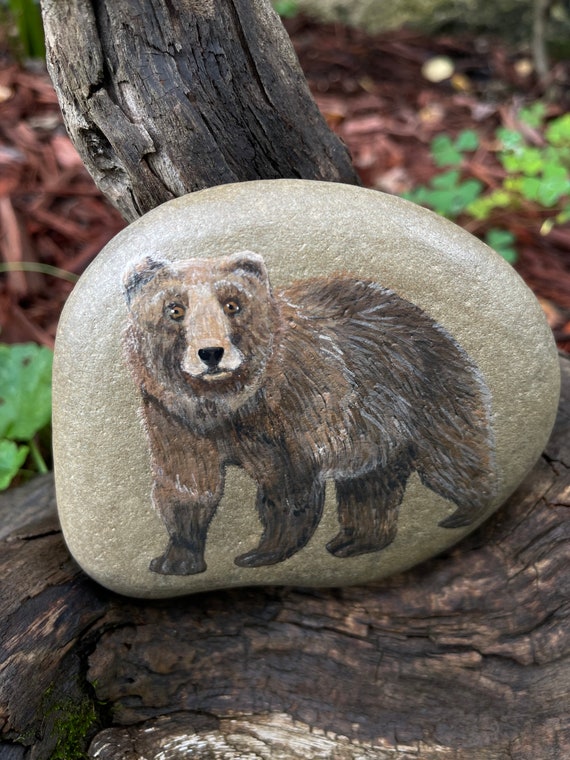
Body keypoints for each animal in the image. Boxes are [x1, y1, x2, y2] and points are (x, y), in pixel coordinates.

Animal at [122, 250, 497, 576]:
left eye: (232, 304)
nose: (211, 352)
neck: (223, 405)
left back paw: (465, 511)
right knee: (369, 486)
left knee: (449, 456)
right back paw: (354, 542)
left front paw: (260, 552)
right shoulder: (174, 419)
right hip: (374, 433)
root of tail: (428, 319)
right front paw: (173, 559)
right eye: (174, 309)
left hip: (419, 393)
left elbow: (286, 485)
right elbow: (187, 485)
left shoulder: (294, 410)